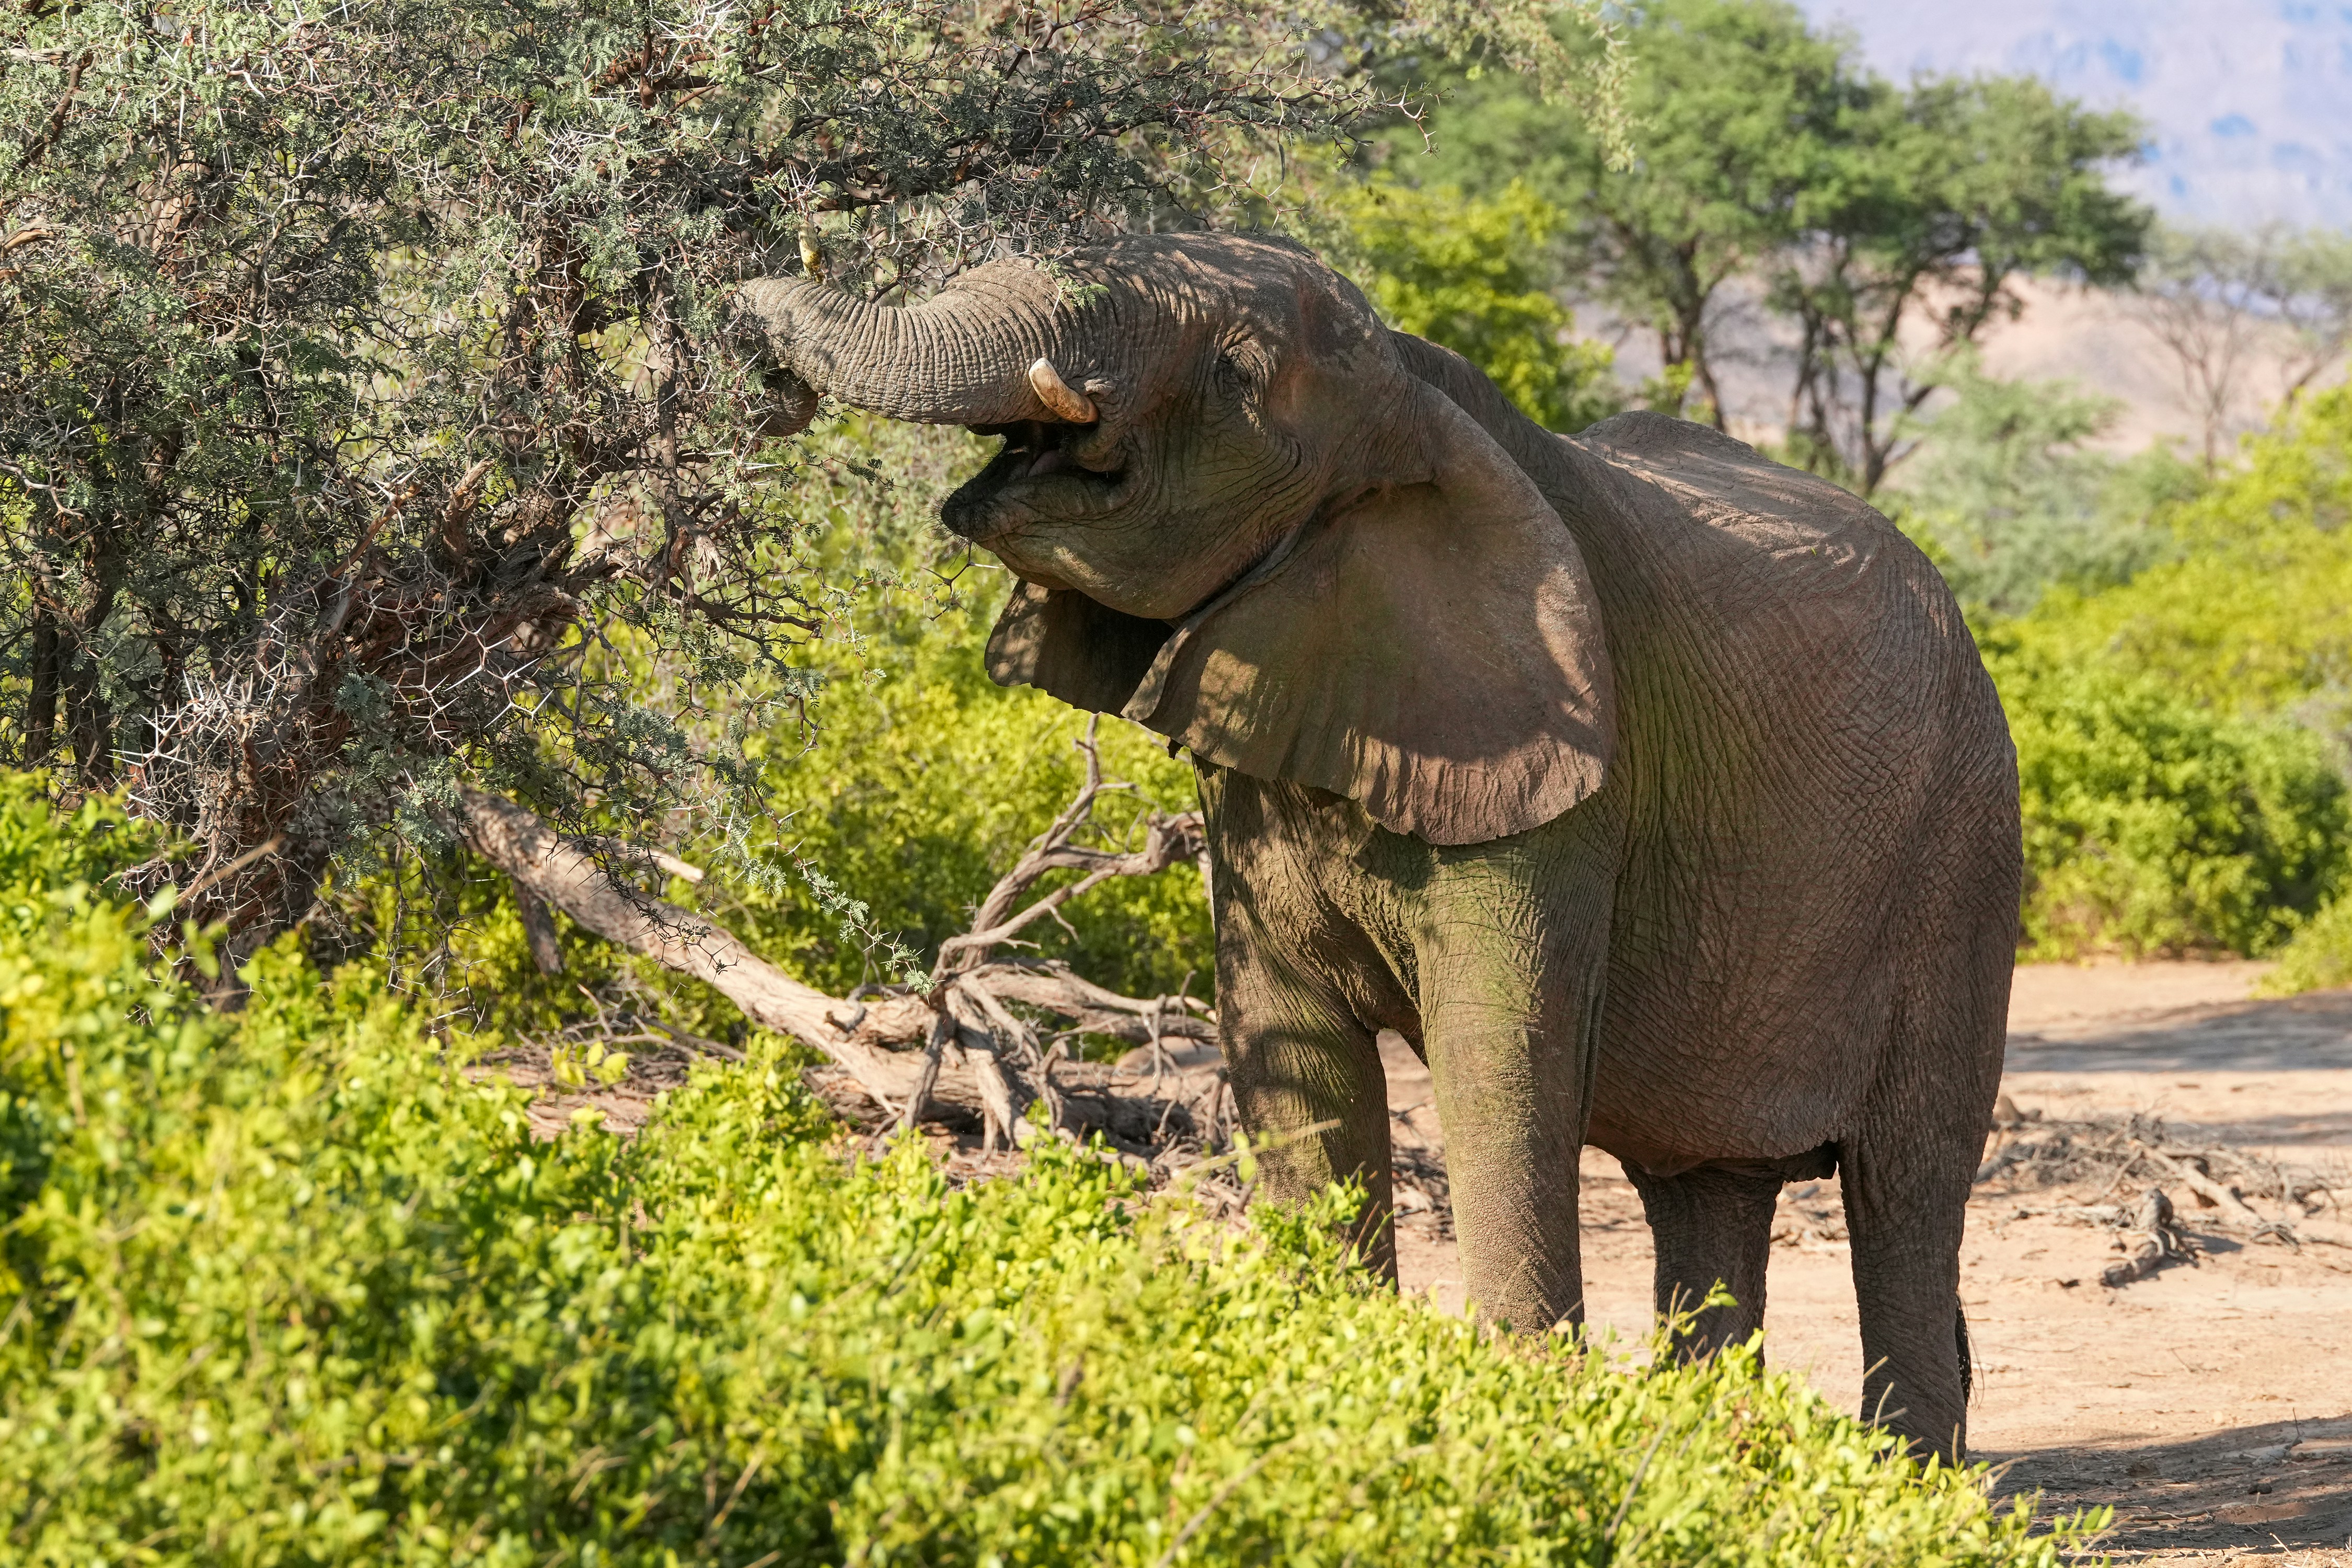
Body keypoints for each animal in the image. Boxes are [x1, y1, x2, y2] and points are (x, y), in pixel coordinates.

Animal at [736, 233, 2019, 1463]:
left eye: (1237, 372)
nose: (758, 341)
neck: (1410, 392)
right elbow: (1285, 1042)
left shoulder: (1561, 777)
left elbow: (1500, 1053)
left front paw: (1519, 1430)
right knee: (1704, 1188)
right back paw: (1724, 1456)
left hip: (1964, 857)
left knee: (1904, 1186)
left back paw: (1903, 1482)